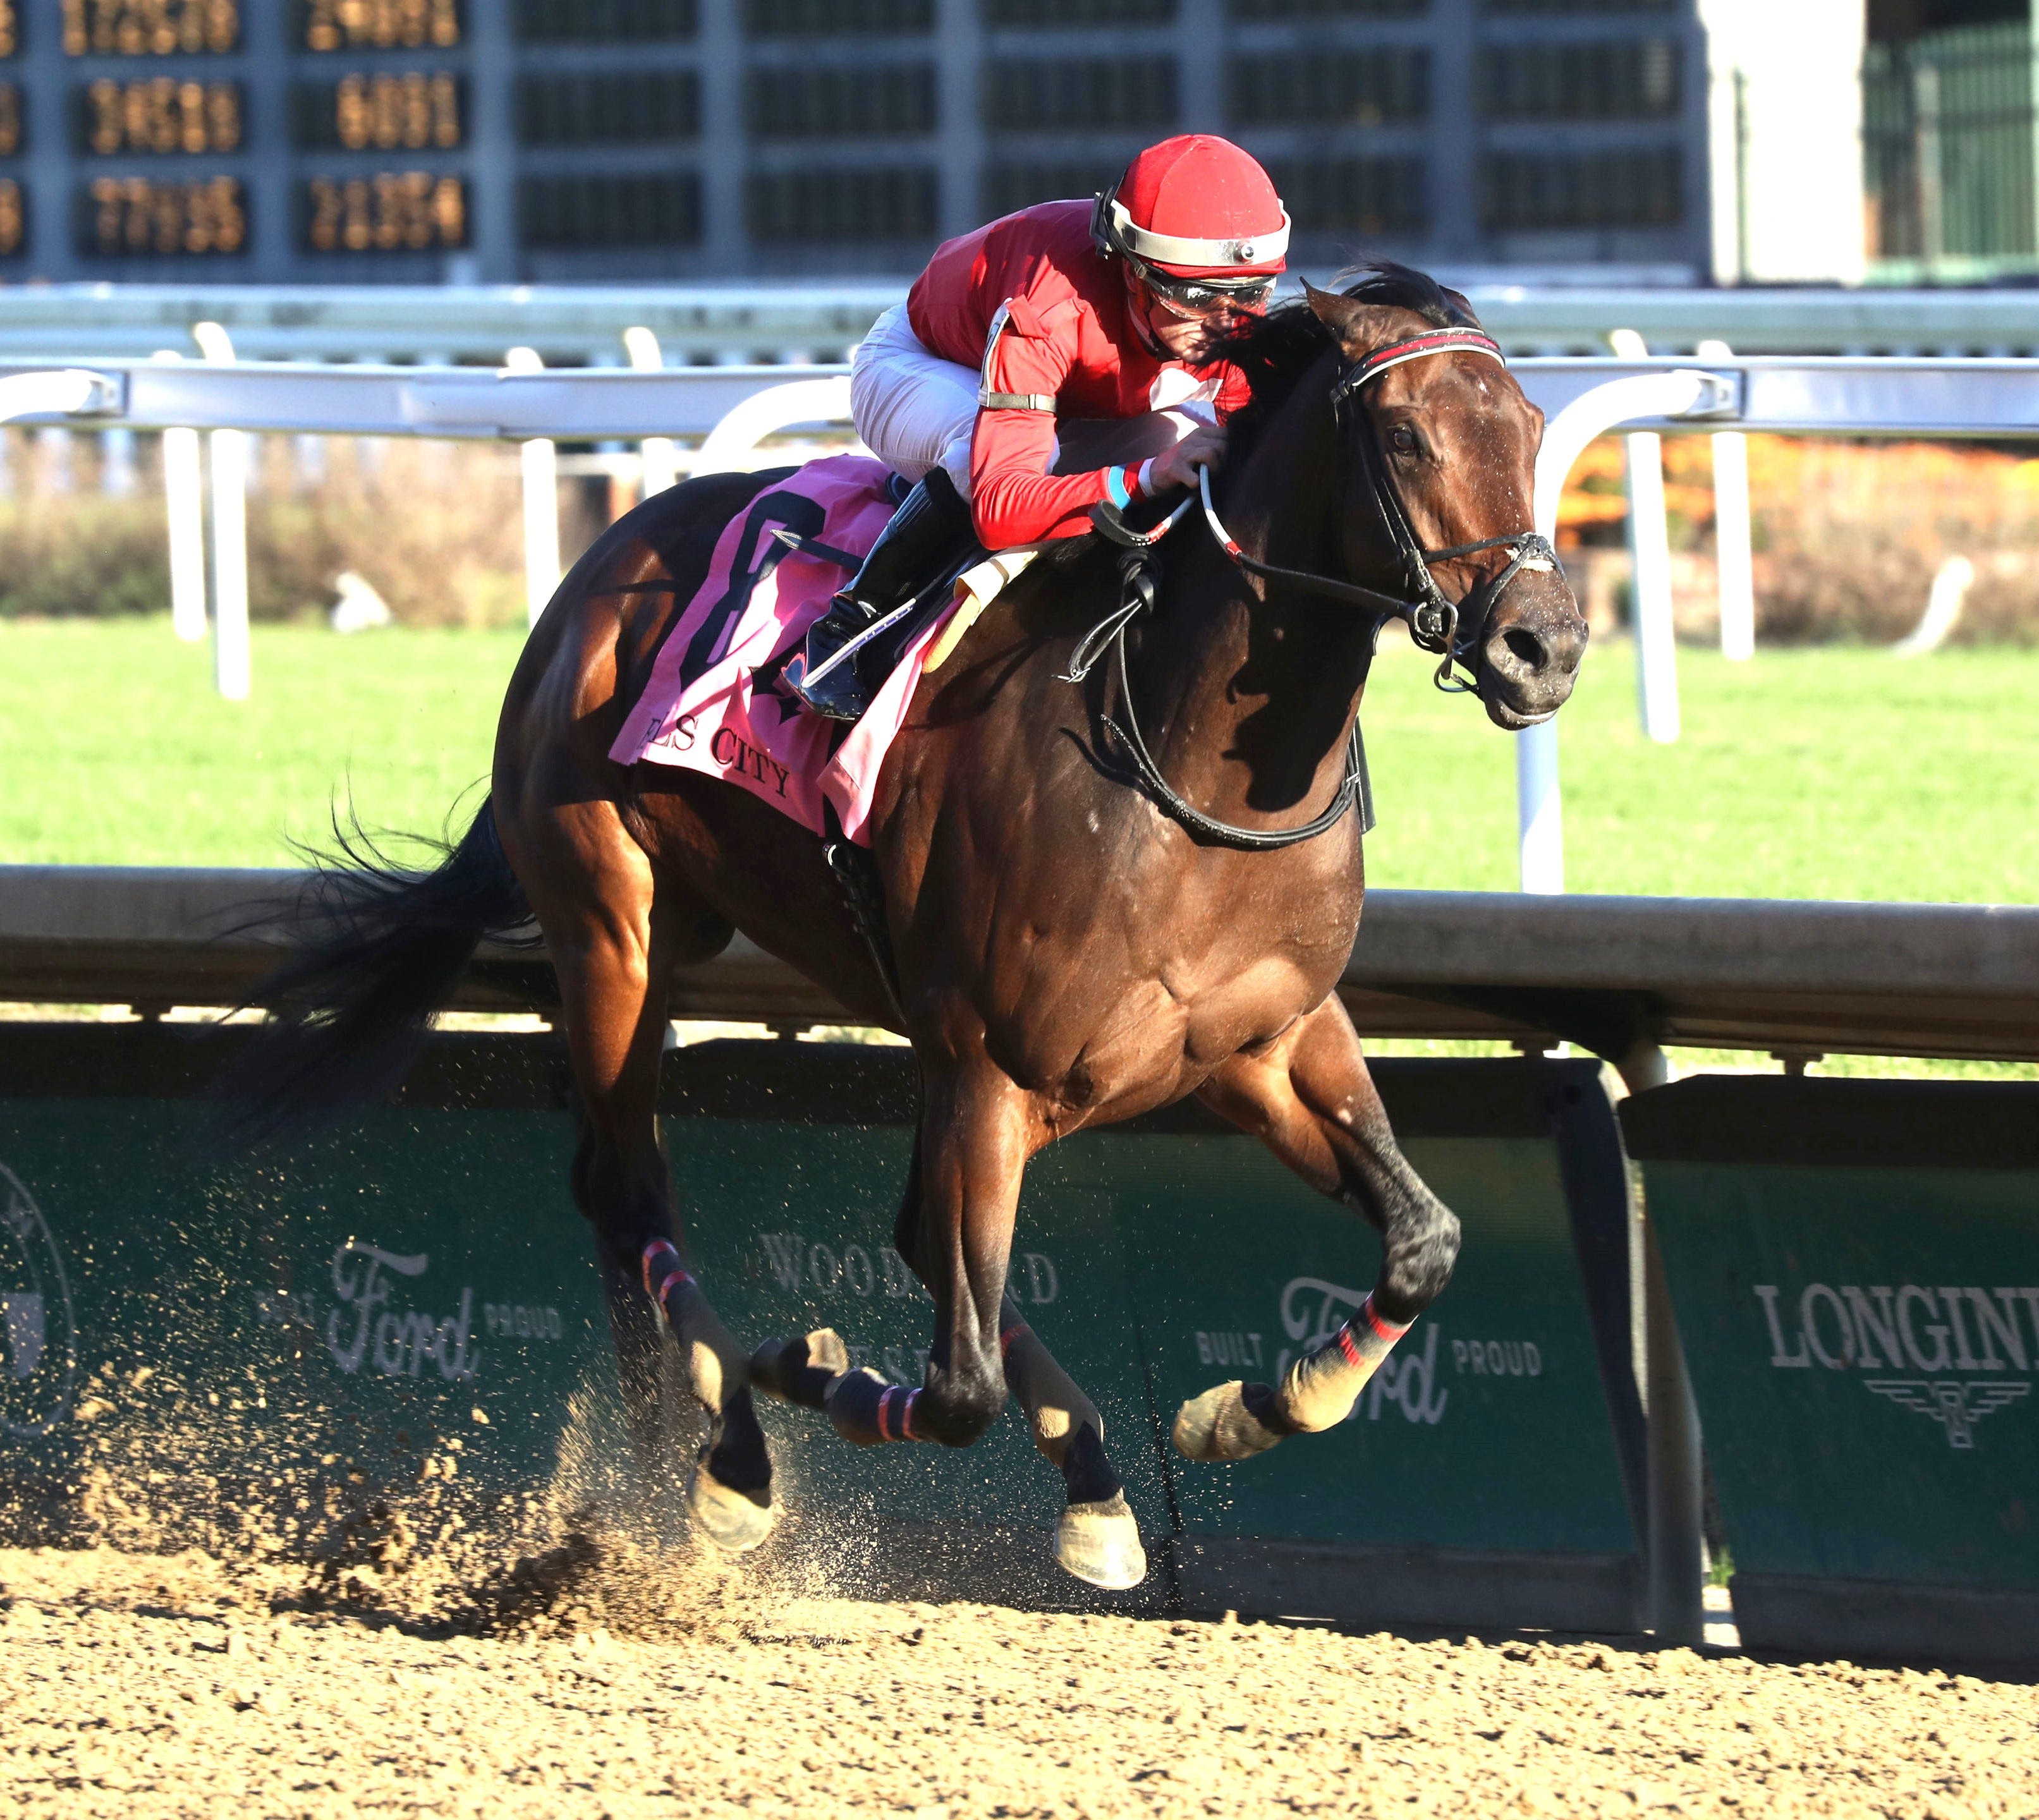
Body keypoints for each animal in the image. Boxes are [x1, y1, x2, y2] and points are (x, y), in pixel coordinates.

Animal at [242, 265, 1587, 1593]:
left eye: (1529, 427)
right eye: (1404, 434)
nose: (1546, 647)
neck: (1182, 766)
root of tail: (590, 575)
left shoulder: (1263, 1043)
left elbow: (1424, 1239)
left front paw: (1251, 1408)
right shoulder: (998, 1066)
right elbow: (955, 1388)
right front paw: (797, 1374)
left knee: (795, 1220)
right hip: (616, 928)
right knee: (630, 1191)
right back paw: (719, 1461)